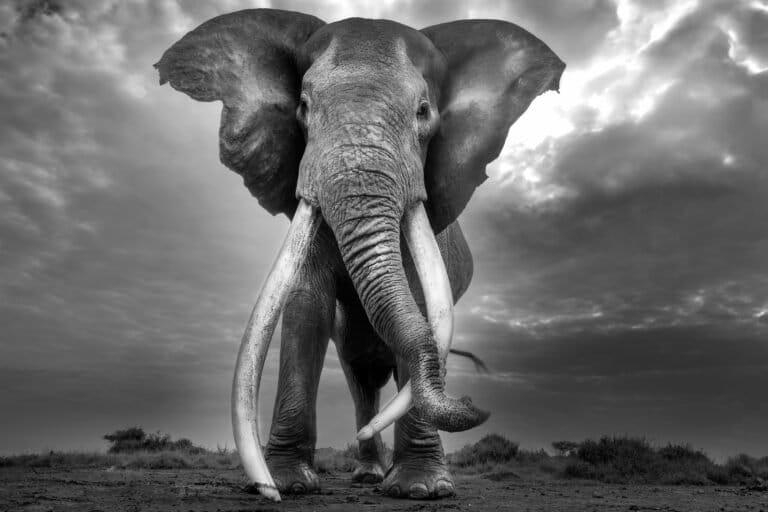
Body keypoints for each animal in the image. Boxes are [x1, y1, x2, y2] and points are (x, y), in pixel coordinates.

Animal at [155, 8, 564, 502]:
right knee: (361, 380)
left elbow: (422, 305)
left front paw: (421, 489)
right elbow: (305, 307)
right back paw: (368, 473)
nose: (473, 403)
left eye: (423, 111)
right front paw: (289, 484)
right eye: (303, 108)